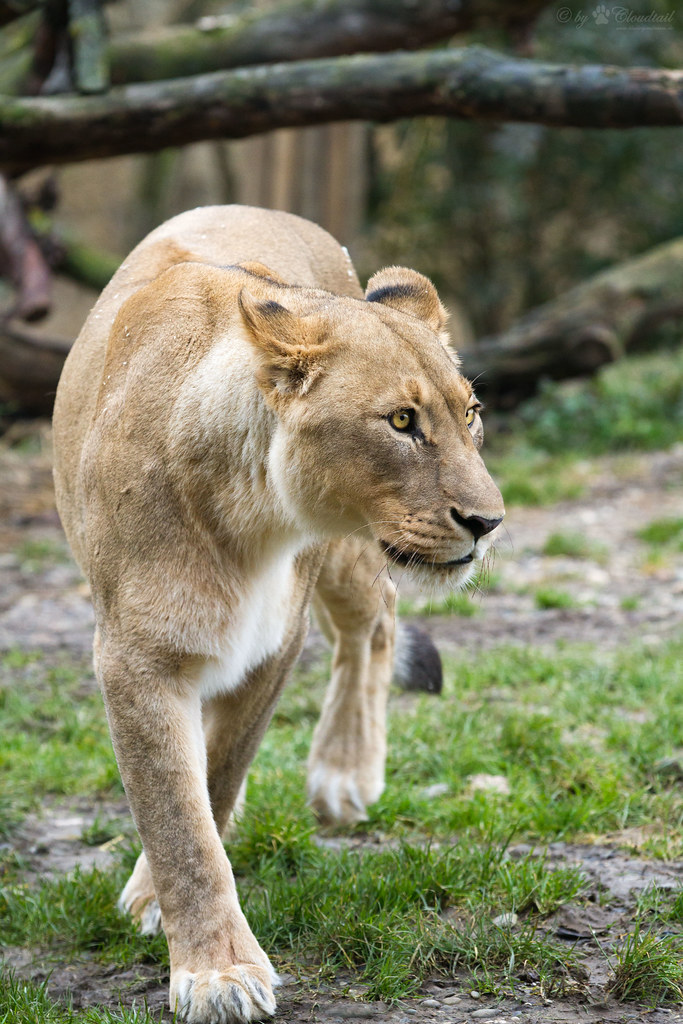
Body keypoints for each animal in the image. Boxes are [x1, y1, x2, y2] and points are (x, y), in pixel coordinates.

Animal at [52, 205, 504, 1024]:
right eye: (401, 421)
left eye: (471, 414)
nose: (488, 523)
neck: (251, 514)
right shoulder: (135, 657)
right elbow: (179, 815)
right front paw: (216, 971)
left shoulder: (272, 645)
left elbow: (217, 778)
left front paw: (175, 924)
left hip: (352, 558)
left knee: (377, 621)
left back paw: (344, 773)